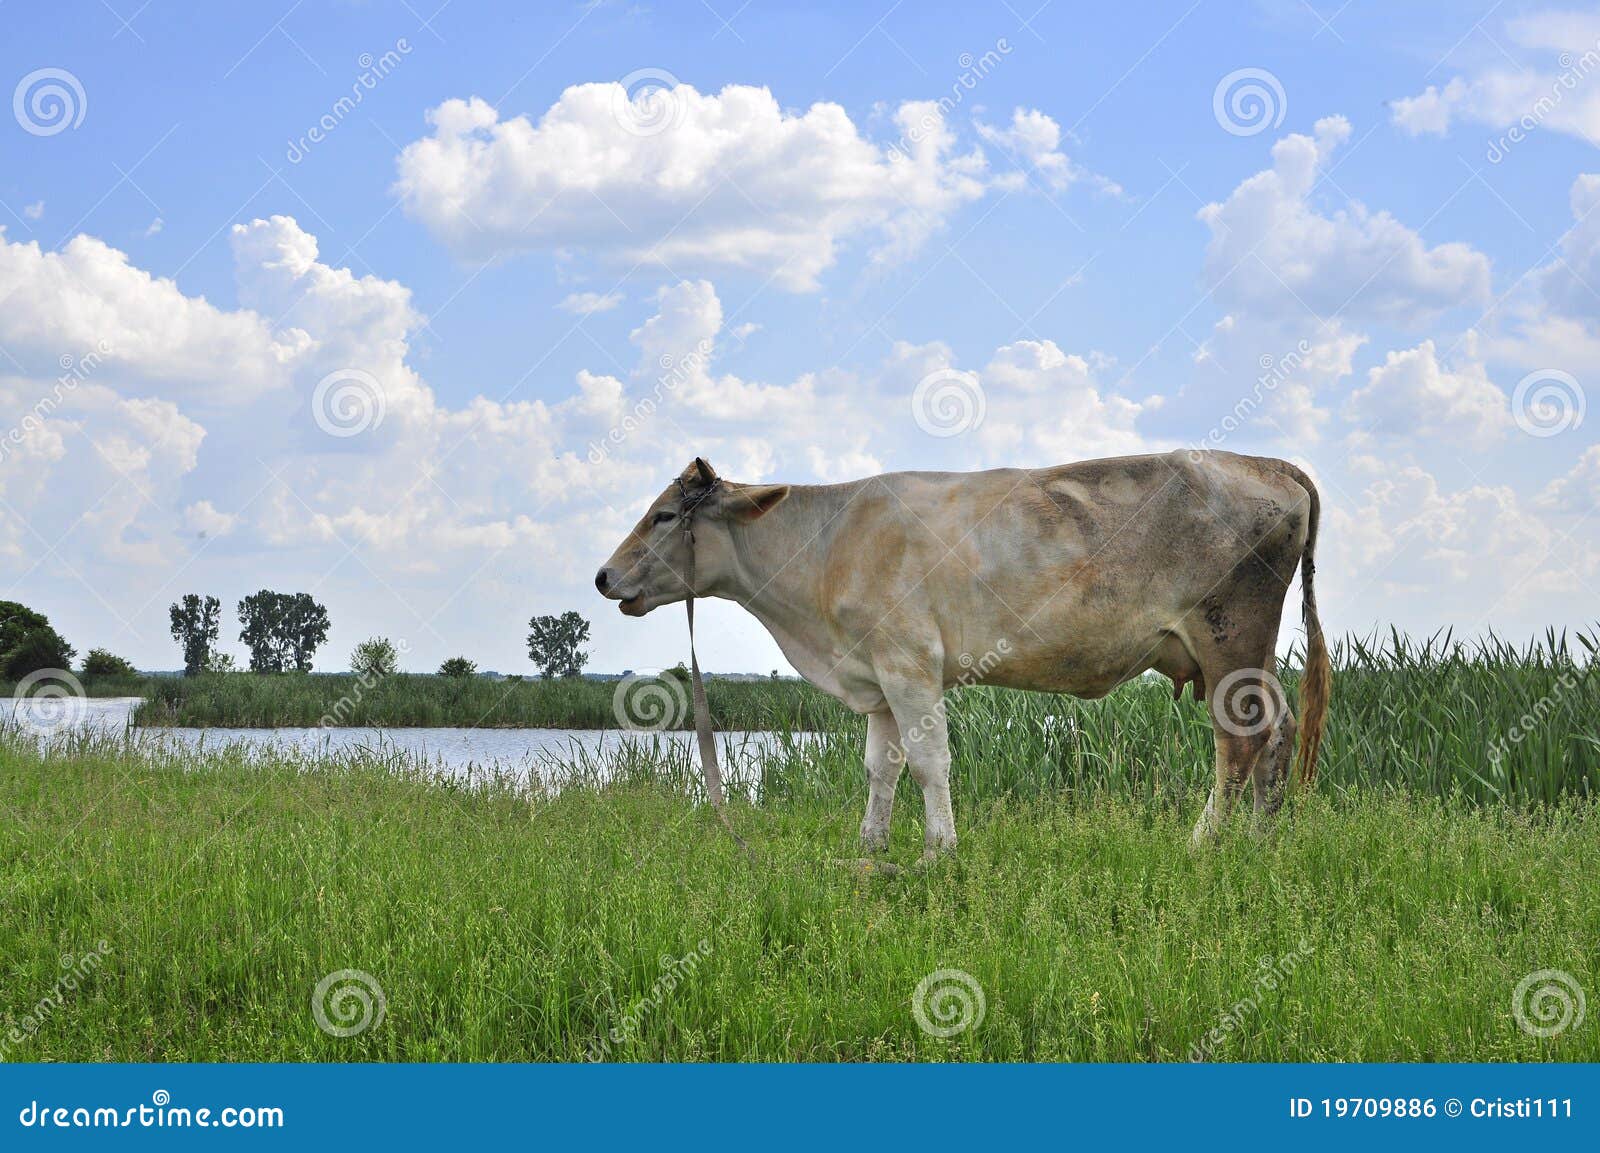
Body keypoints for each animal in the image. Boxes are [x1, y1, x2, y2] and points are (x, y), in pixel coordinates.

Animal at [596, 450, 1329, 859]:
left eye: (665, 515)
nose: (604, 576)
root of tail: (1267, 464)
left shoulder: (910, 662)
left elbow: (929, 762)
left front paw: (938, 851)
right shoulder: (877, 675)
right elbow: (881, 768)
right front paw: (871, 846)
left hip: (1230, 635)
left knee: (1241, 741)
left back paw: (1202, 844)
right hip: (1250, 655)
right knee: (1279, 732)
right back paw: (1261, 844)